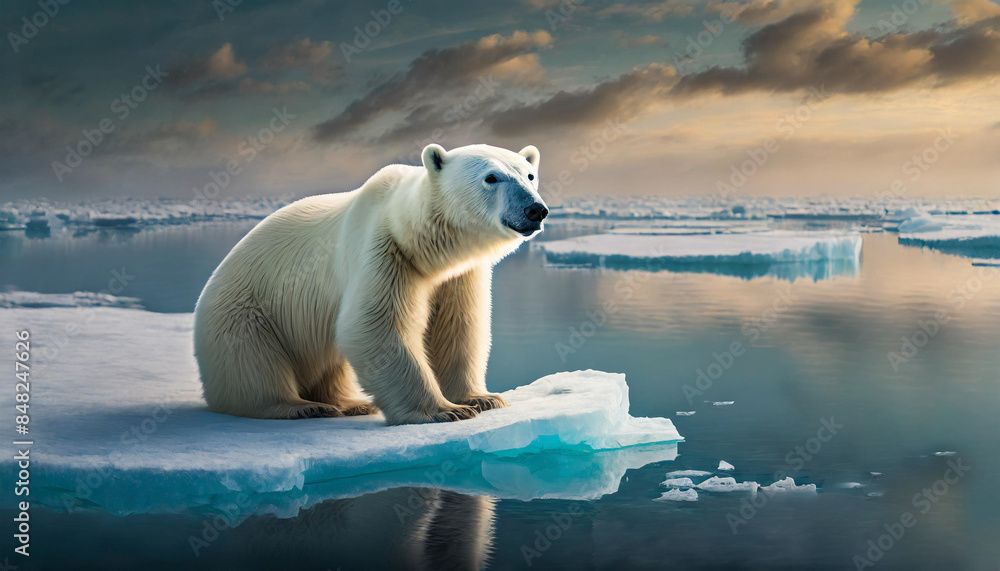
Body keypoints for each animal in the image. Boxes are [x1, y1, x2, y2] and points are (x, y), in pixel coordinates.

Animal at [193, 143, 547, 425]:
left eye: (529, 175)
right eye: (491, 177)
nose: (536, 209)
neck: (418, 242)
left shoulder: (457, 275)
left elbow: (457, 327)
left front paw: (482, 398)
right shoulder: (383, 251)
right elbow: (375, 327)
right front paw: (444, 411)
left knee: (330, 362)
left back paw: (350, 403)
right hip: (246, 310)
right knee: (252, 363)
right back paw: (302, 406)